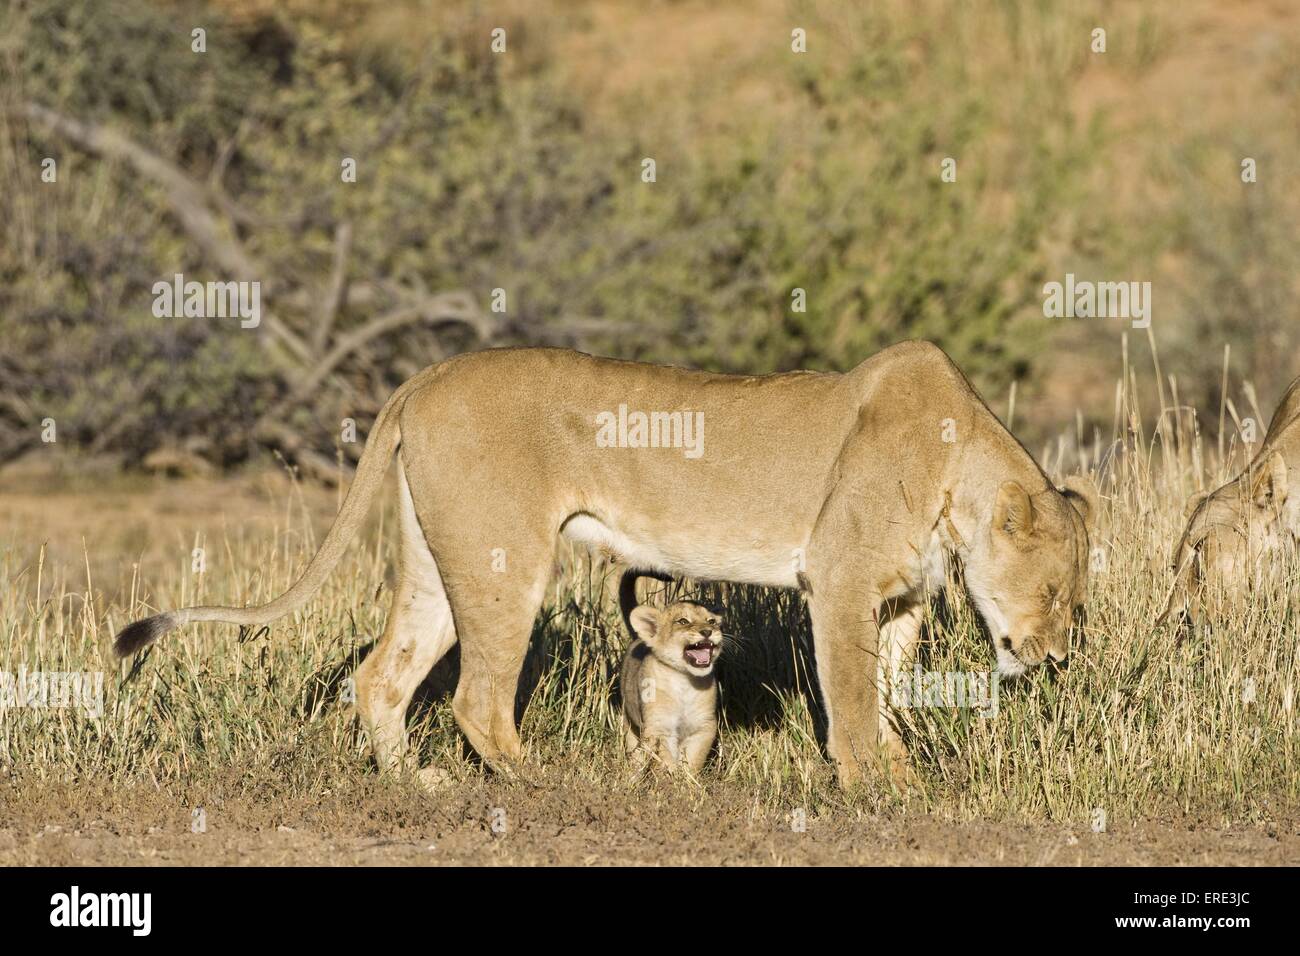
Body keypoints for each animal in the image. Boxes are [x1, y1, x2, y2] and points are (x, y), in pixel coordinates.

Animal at [621, 599, 722, 775]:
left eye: (711, 621)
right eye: (683, 621)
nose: (707, 631)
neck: (685, 680)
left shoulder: (704, 726)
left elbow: (694, 759)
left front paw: (688, 779)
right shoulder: (659, 727)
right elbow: (665, 759)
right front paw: (671, 777)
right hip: (629, 722)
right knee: (635, 750)